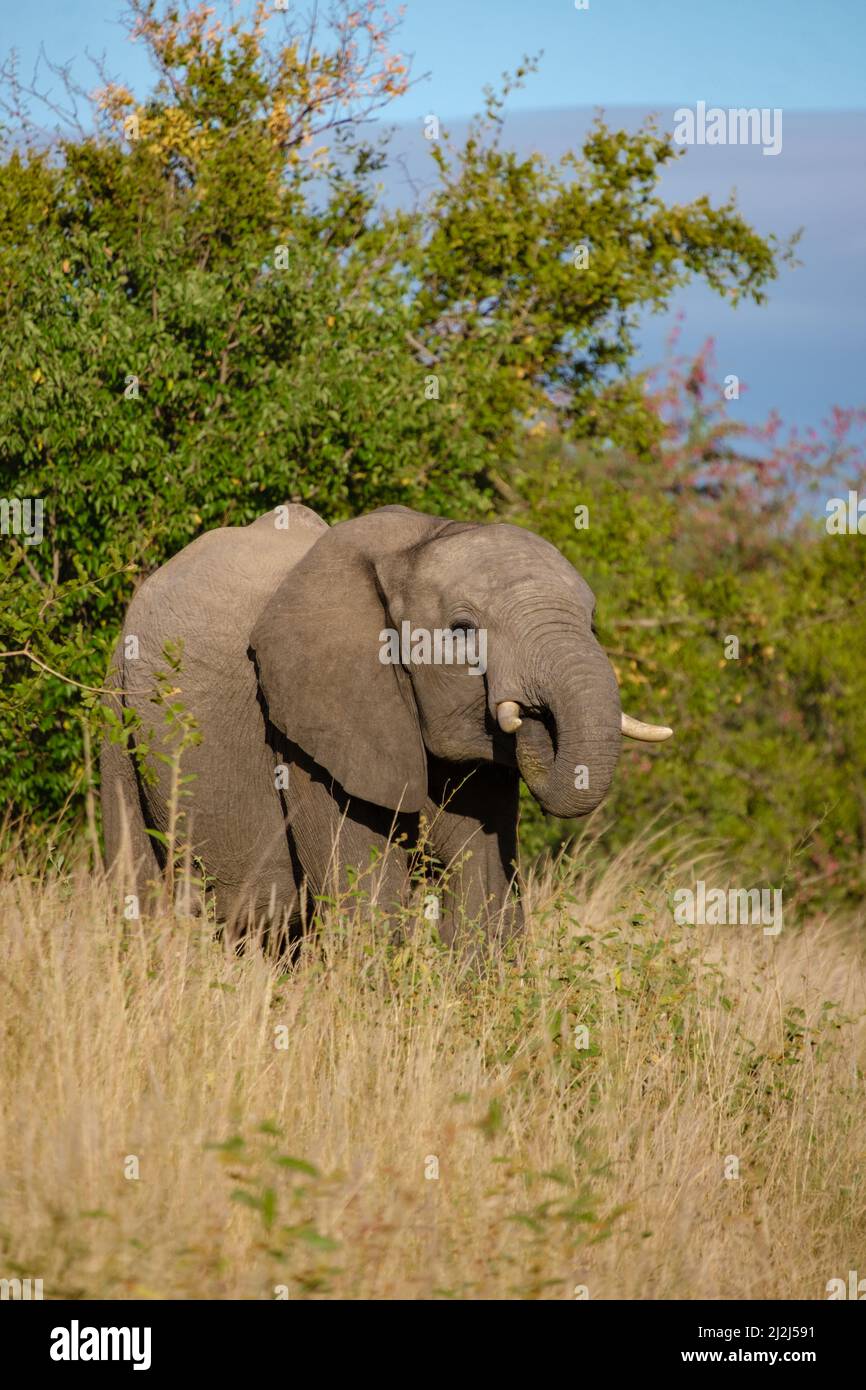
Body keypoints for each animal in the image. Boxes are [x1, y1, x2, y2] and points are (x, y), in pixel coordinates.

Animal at [100, 503, 672, 949]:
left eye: (591, 622)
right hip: (118, 710)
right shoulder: (312, 720)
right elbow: (368, 895)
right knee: (142, 887)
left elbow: (485, 885)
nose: (529, 711)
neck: (421, 541)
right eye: (463, 631)